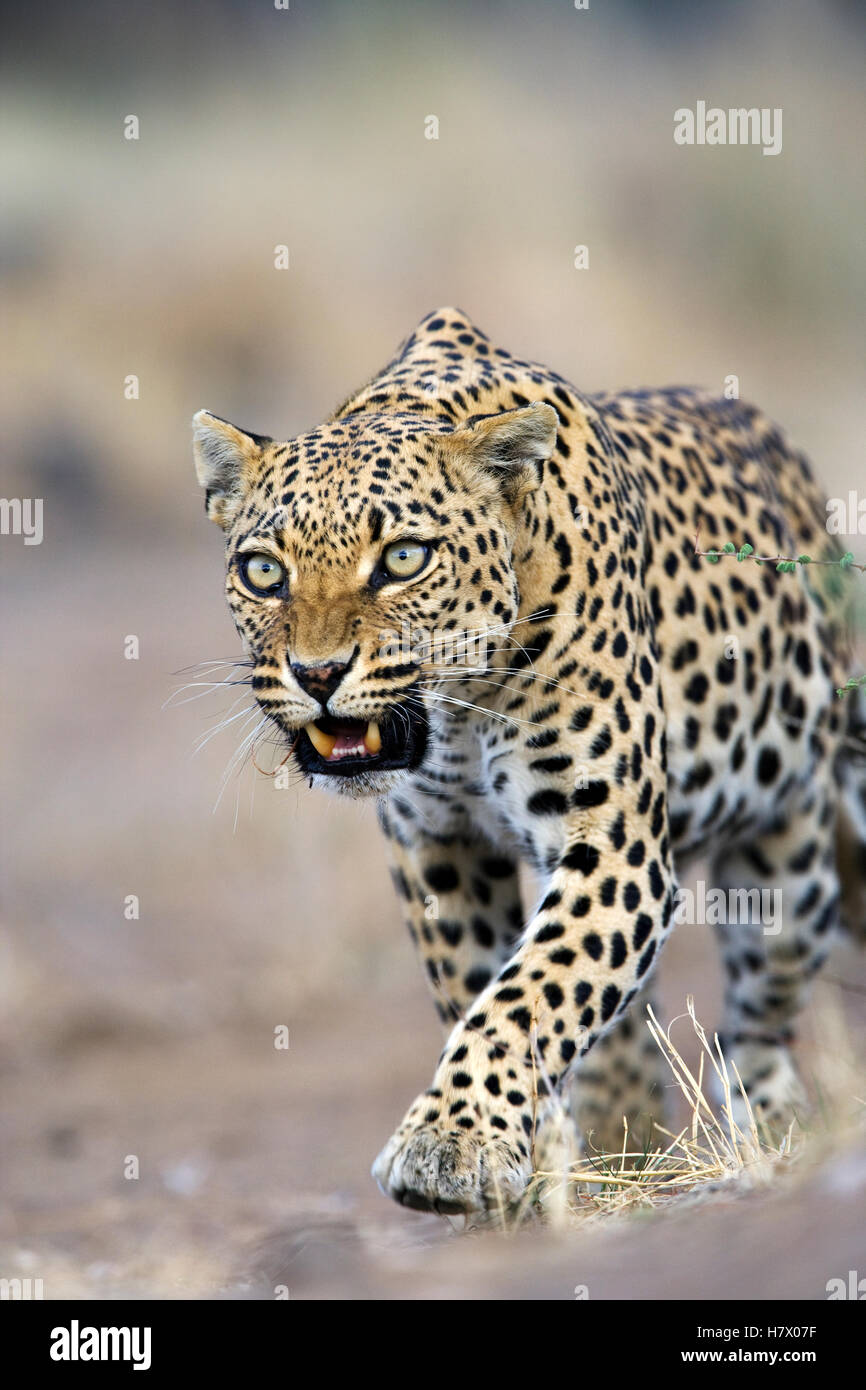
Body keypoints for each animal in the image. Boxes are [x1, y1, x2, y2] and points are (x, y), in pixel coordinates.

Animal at [192, 307, 865, 1217]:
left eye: (403, 558)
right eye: (264, 571)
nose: (318, 674)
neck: (461, 711)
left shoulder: (611, 844)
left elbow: (532, 990)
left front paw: (451, 1143)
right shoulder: (437, 849)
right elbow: (484, 990)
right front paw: (525, 1166)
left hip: (789, 868)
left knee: (756, 1026)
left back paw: (770, 1133)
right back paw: (623, 1146)